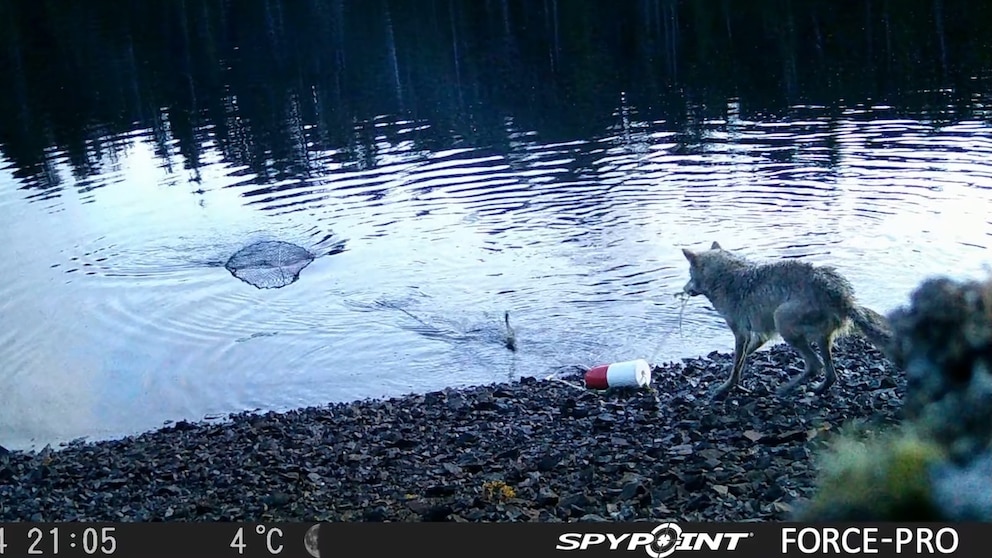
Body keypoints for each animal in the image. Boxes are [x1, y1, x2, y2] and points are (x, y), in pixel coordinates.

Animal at [681, 241, 893, 400]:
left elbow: (737, 363)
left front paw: (725, 388)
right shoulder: (761, 334)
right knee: (830, 374)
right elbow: (741, 360)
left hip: (782, 320)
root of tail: (841, 295)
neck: (725, 277)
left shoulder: (741, 333)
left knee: (815, 365)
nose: (684, 289)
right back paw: (817, 389)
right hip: (819, 338)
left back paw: (785, 390)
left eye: (689, 274)